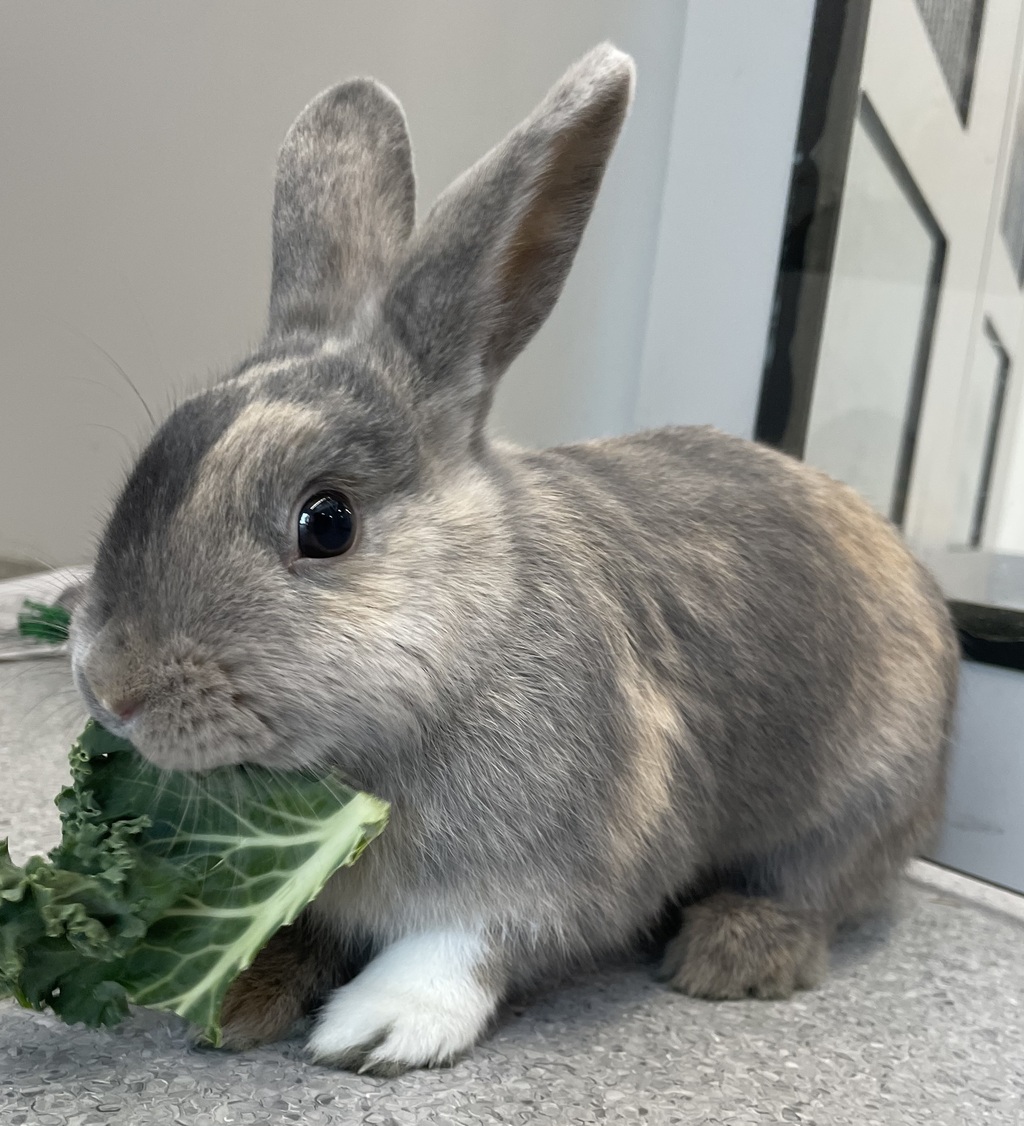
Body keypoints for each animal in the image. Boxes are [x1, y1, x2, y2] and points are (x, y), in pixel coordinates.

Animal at [69, 43, 959, 1076]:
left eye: (326, 522)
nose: (111, 685)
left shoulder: (568, 863)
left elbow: (464, 943)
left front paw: (378, 1028)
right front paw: (244, 988)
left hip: (859, 798)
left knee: (819, 890)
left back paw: (733, 950)